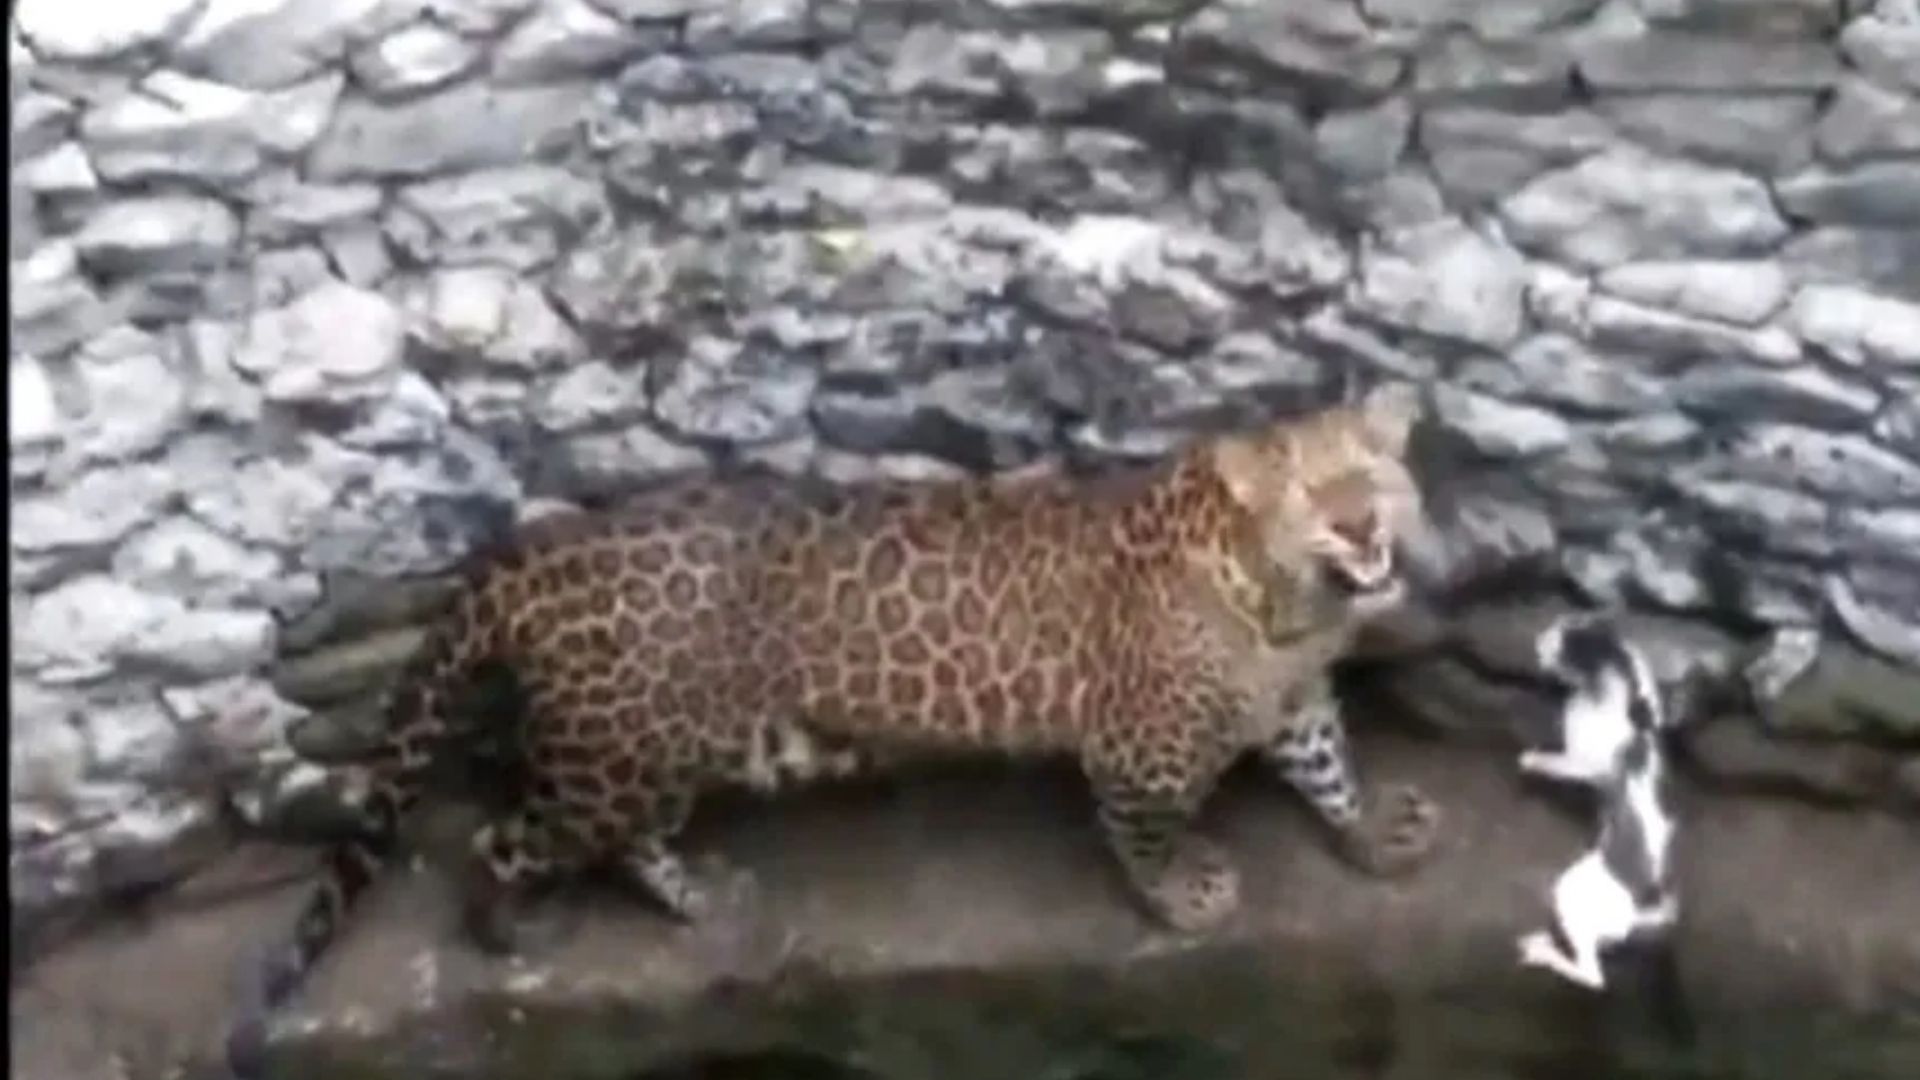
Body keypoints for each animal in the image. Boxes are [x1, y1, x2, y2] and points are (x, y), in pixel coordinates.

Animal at [222, 384, 1440, 1076]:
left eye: (1372, 474)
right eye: (1308, 491)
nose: (1359, 524)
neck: (1286, 608)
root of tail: (530, 554)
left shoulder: (1294, 700)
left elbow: (1328, 768)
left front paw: (1377, 833)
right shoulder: (1144, 750)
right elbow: (1147, 833)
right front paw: (1185, 894)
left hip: (666, 751)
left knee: (630, 836)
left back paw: (704, 895)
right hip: (612, 756)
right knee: (507, 836)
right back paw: (514, 932)